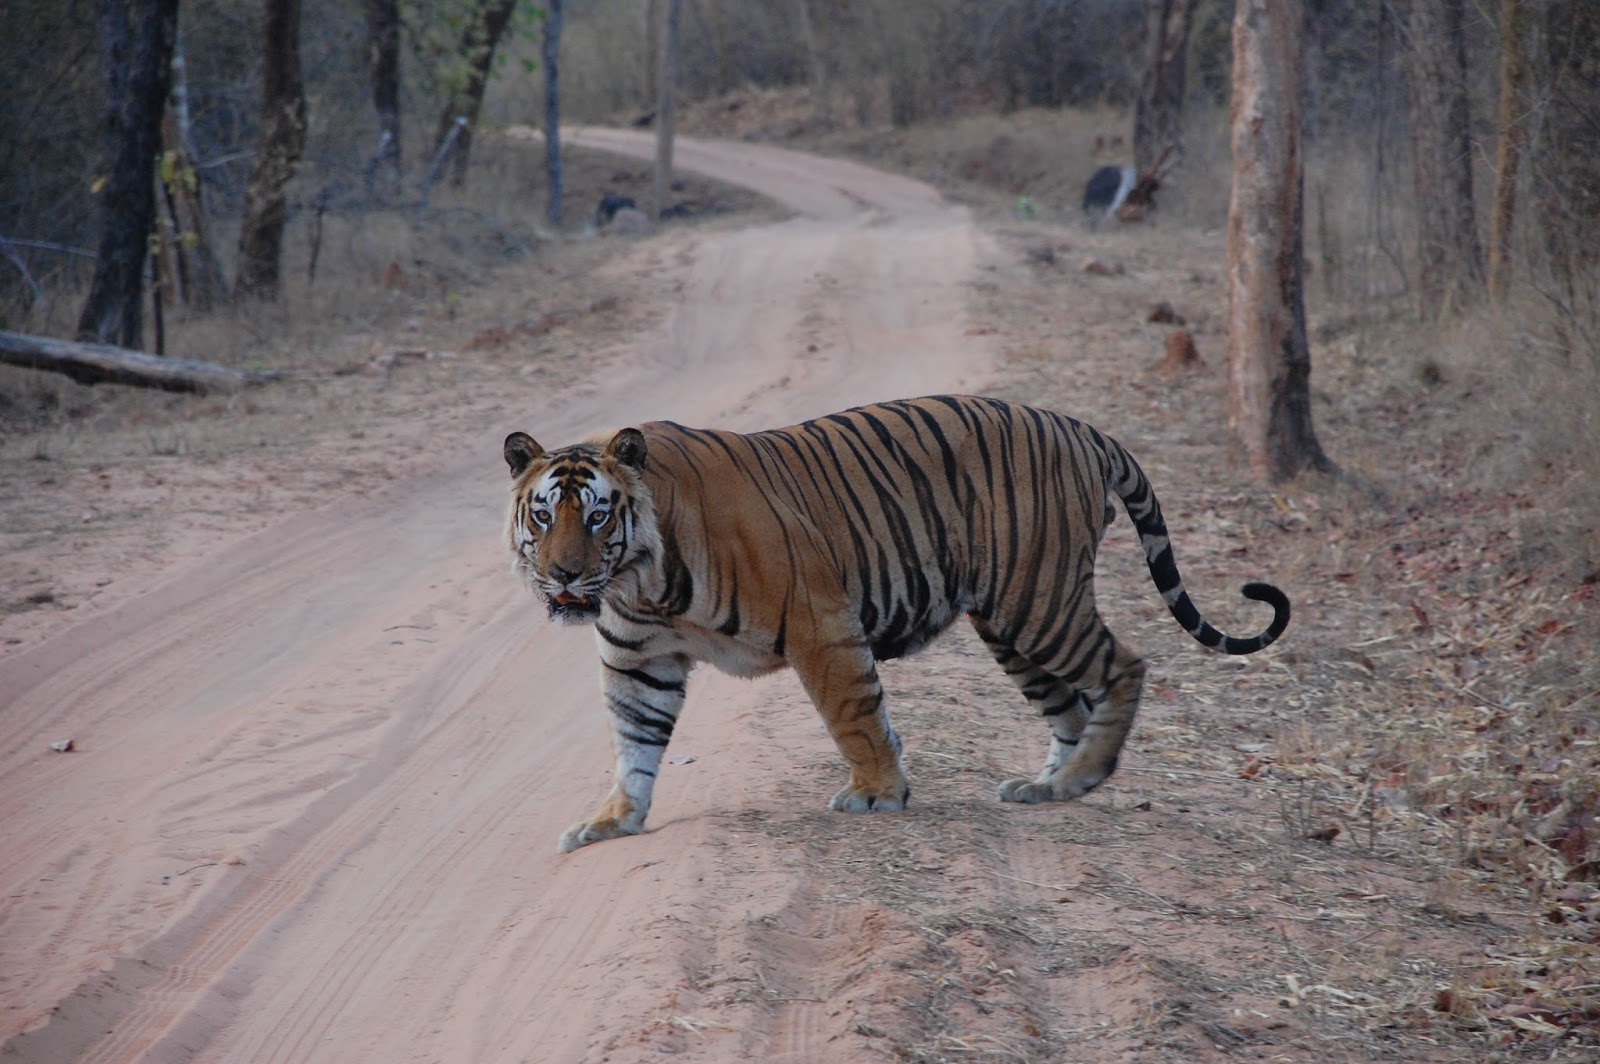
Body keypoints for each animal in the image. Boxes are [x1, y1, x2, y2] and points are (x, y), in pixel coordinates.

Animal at [503, 395, 1290, 853]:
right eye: (543, 516)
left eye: (596, 517)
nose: (564, 576)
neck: (640, 580)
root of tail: (1082, 428)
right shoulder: (638, 661)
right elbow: (634, 741)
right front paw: (614, 818)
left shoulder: (820, 622)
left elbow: (854, 715)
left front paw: (878, 792)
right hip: (1009, 623)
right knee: (1067, 705)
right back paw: (1049, 785)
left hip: (1040, 601)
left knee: (1124, 665)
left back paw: (1087, 776)